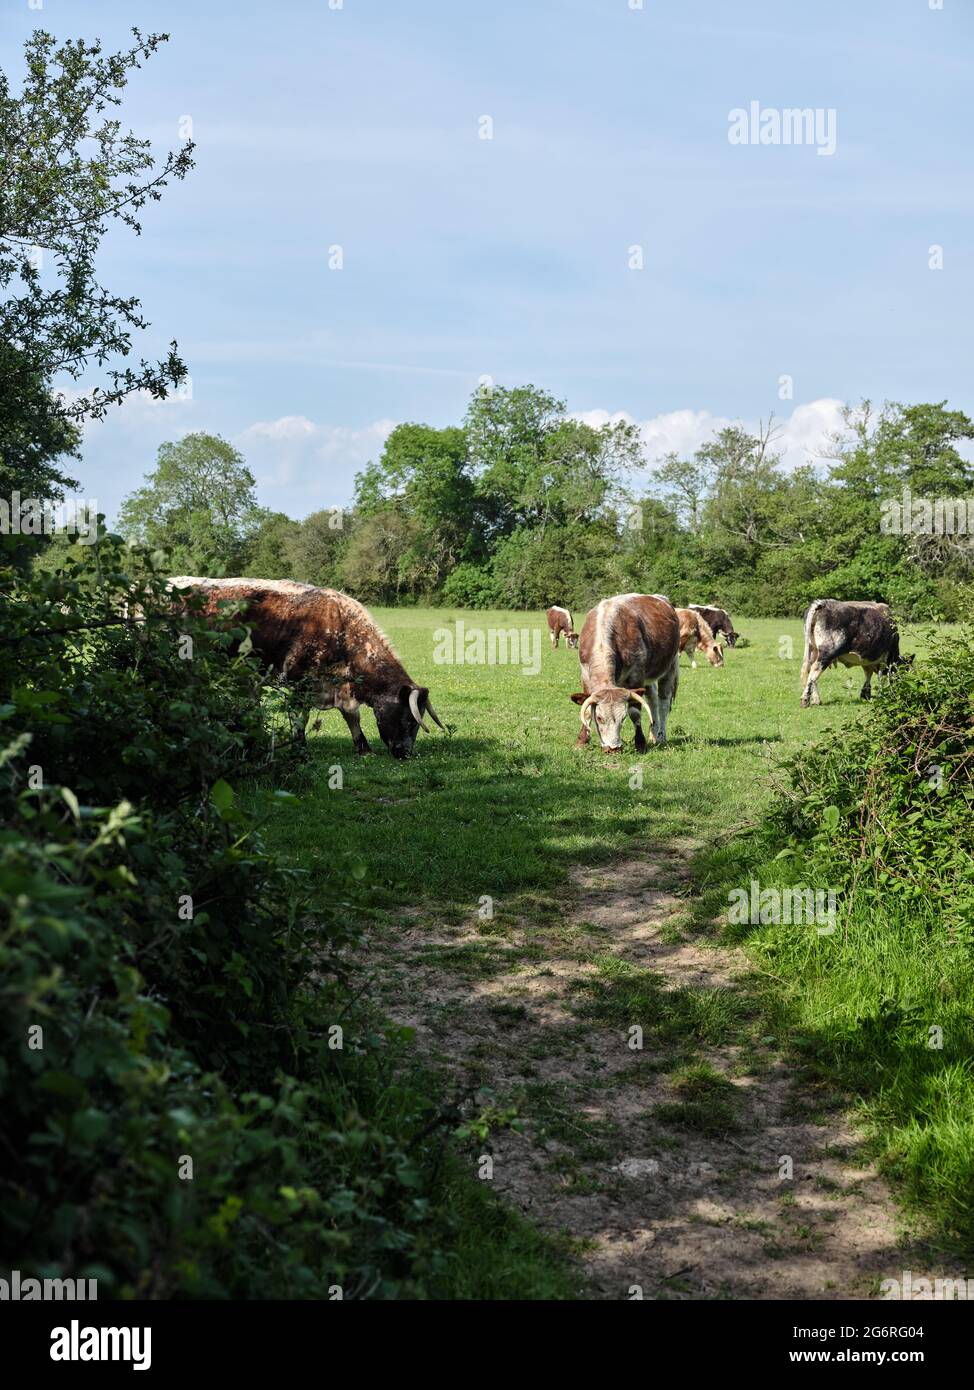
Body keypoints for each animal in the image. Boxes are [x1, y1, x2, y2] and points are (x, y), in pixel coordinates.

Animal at [167, 577, 444, 757]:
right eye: (408, 720)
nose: (406, 753)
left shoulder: (339, 686)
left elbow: (352, 716)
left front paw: (363, 747)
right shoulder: (300, 683)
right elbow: (299, 717)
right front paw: (299, 749)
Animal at [569, 593, 681, 753]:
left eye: (623, 718)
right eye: (599, 718)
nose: (613, 748)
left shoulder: (636, 676)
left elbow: (635, 711)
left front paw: (640, 743)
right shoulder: (585, 676)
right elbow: (587, 709)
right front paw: (582, 741)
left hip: (669, 668)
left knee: (663, 704)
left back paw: (661, 737)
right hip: (649, 678)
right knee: (652, 701)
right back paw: (653, 735)